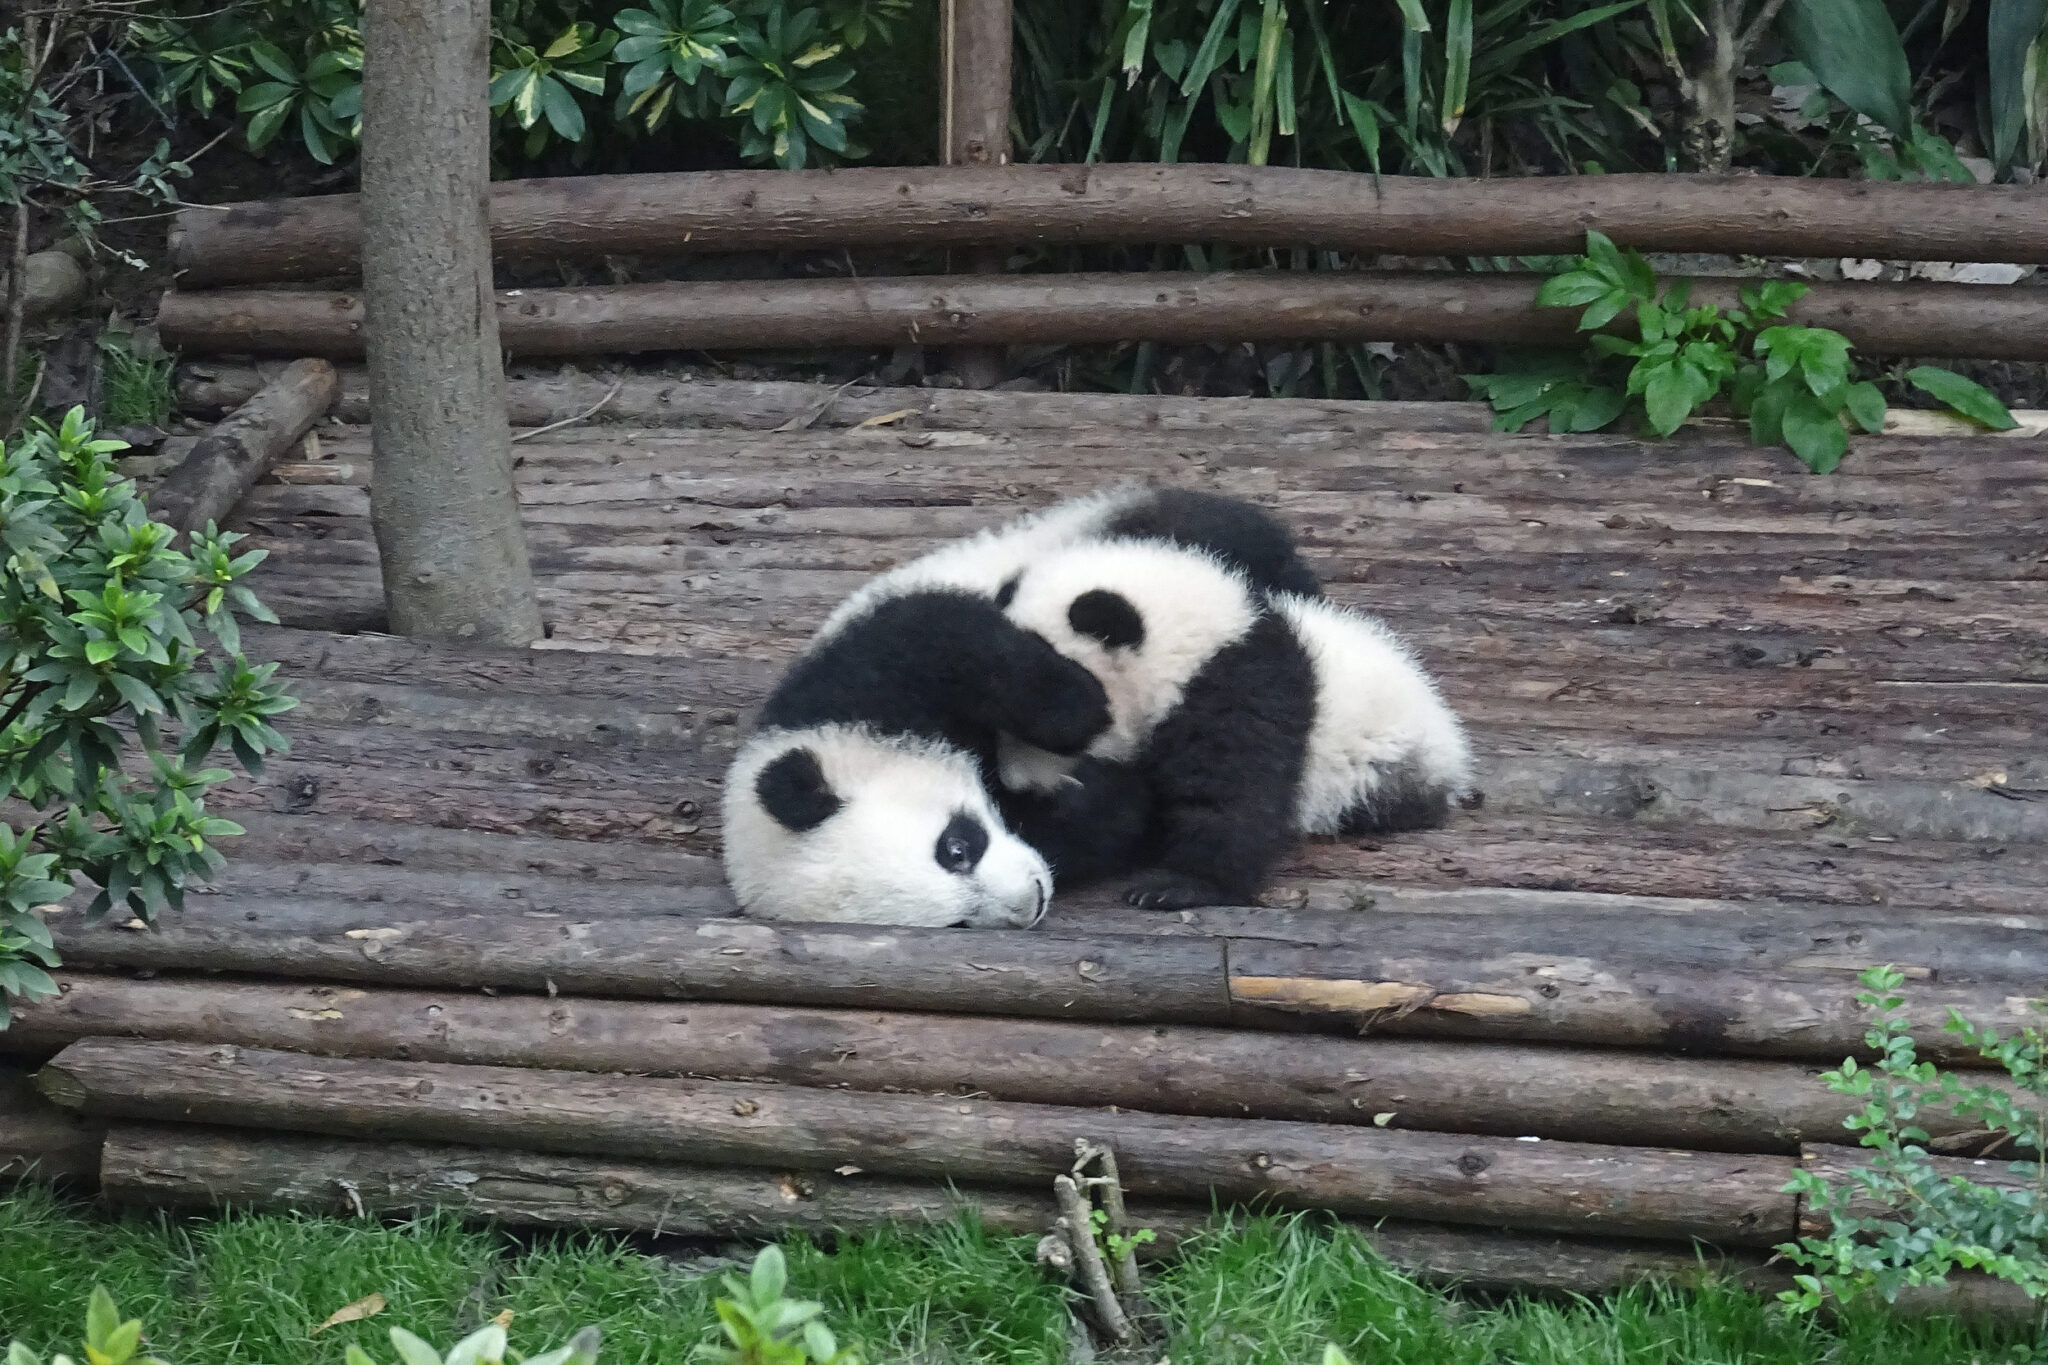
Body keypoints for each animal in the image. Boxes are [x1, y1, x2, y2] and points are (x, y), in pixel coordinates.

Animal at [721, 487, 1323, 927]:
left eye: (955, 848)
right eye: (955, 923)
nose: (1029, 902)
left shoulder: (865, 668)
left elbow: (959, 643)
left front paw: (1083, 713)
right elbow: (1092, 831)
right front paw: (1102, 796)